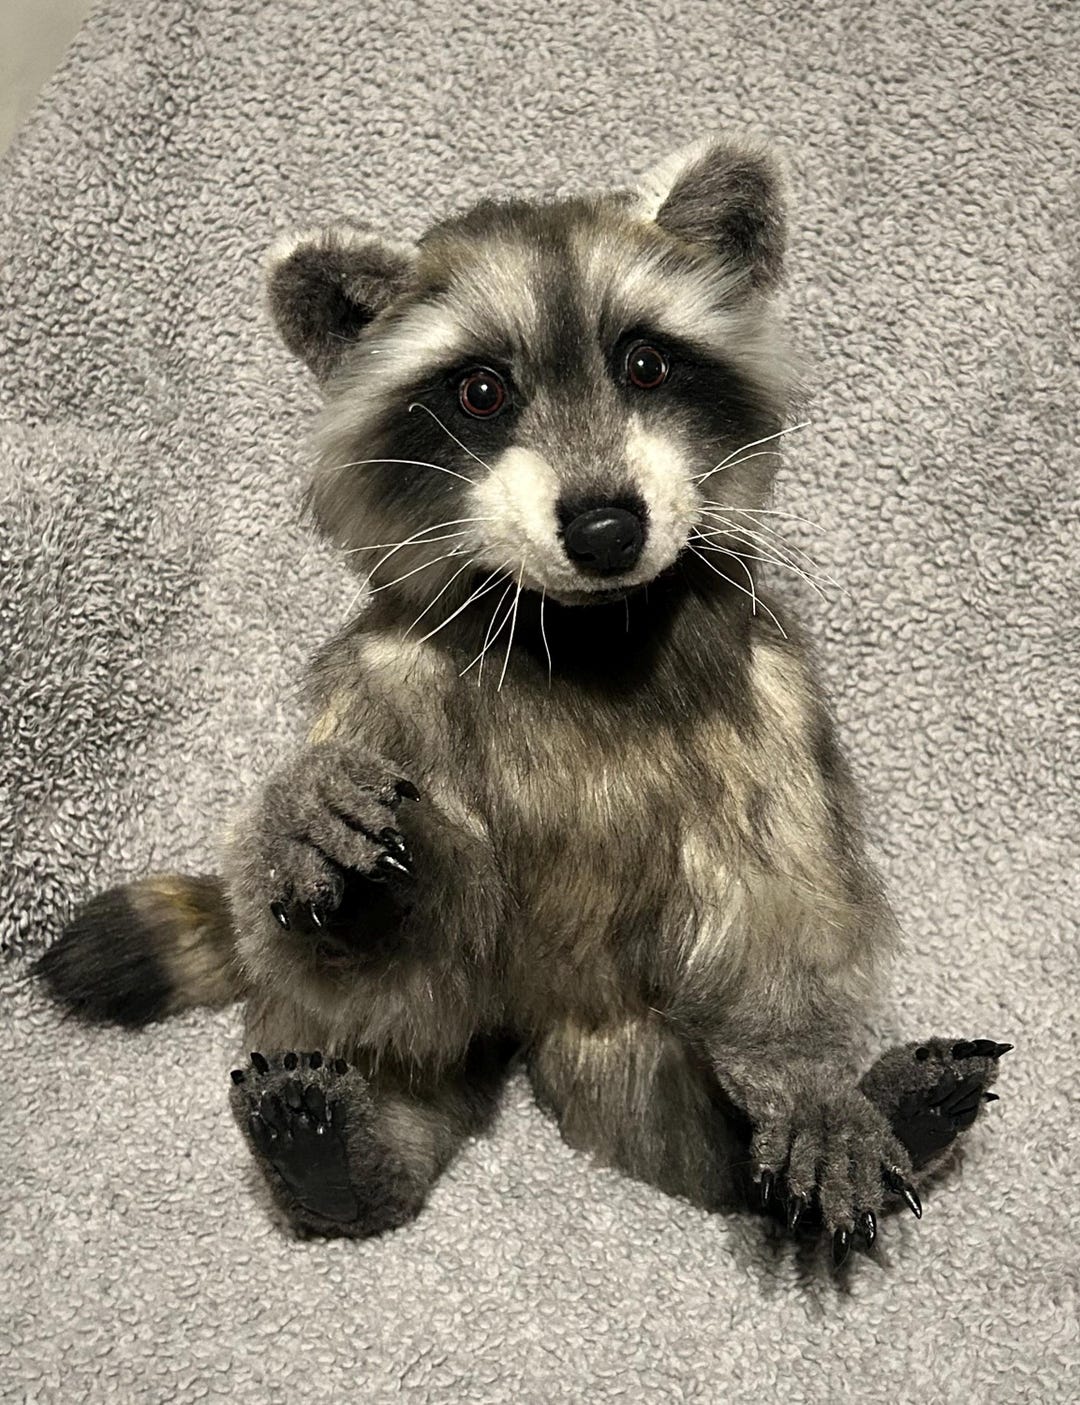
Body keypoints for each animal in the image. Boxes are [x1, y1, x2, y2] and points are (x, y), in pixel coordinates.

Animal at [36, 136, 1009, 1266]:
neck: (585, 625)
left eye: (645, 364)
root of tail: (535, 1019)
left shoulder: (768, 688)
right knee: (374, 1021)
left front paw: (804, 1074)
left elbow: (785, 896)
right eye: (482, 392)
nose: (605, 528)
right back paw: (350, 1156)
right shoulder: (387, 683)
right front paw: (316, 829)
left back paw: (853, 1121)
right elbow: (385, 910)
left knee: (673, 1123)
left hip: (615, 1036)